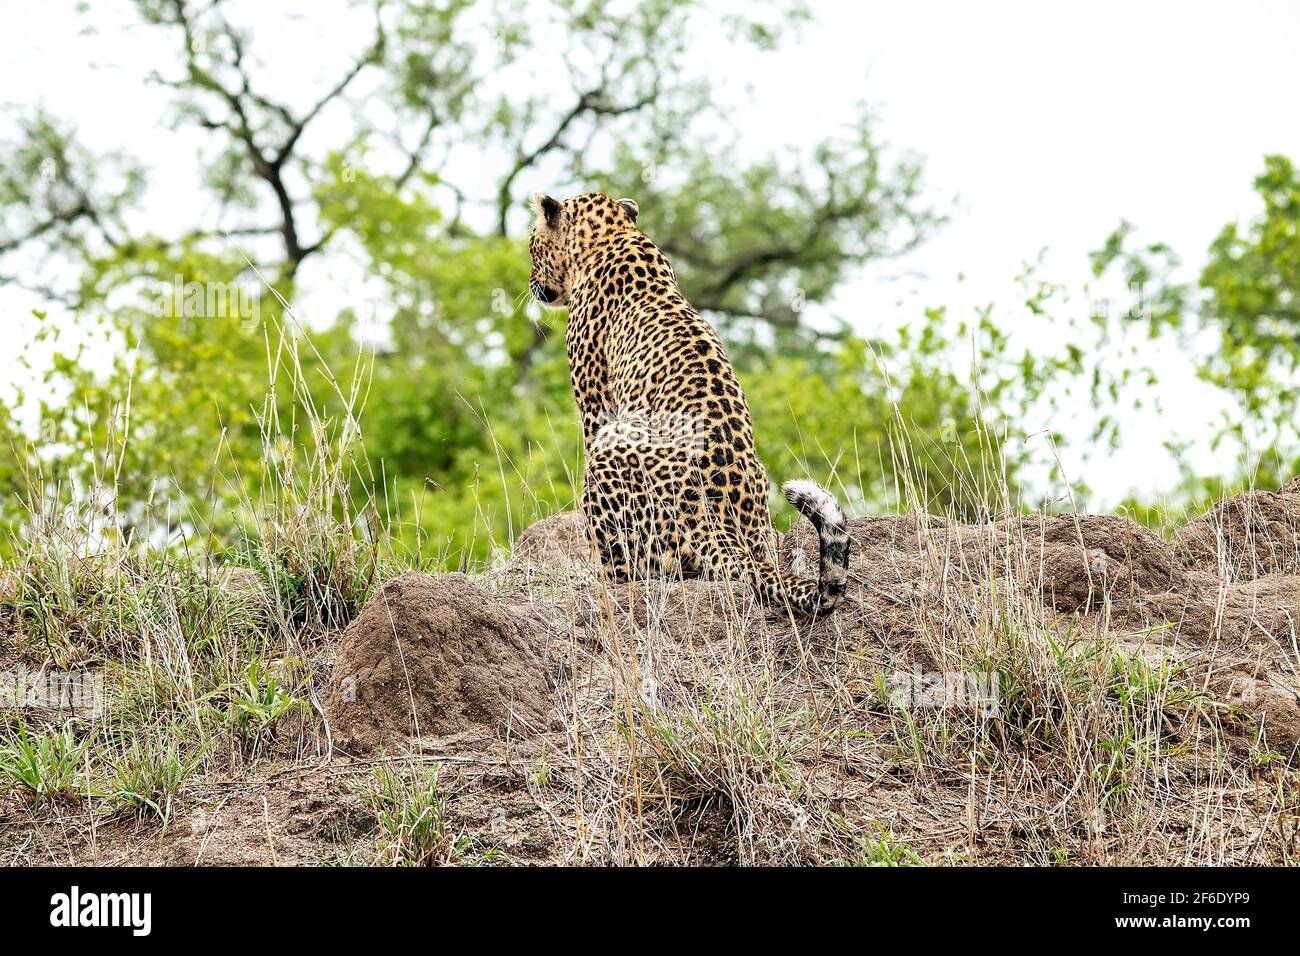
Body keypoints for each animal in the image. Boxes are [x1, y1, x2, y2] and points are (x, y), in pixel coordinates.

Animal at [528, 191, 850, 616]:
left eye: (531, 245)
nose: (532, 284)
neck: (613, 235)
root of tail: (719, 526)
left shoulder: (596, 405)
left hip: (611, 454)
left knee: (631, 569)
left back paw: (594, 578)